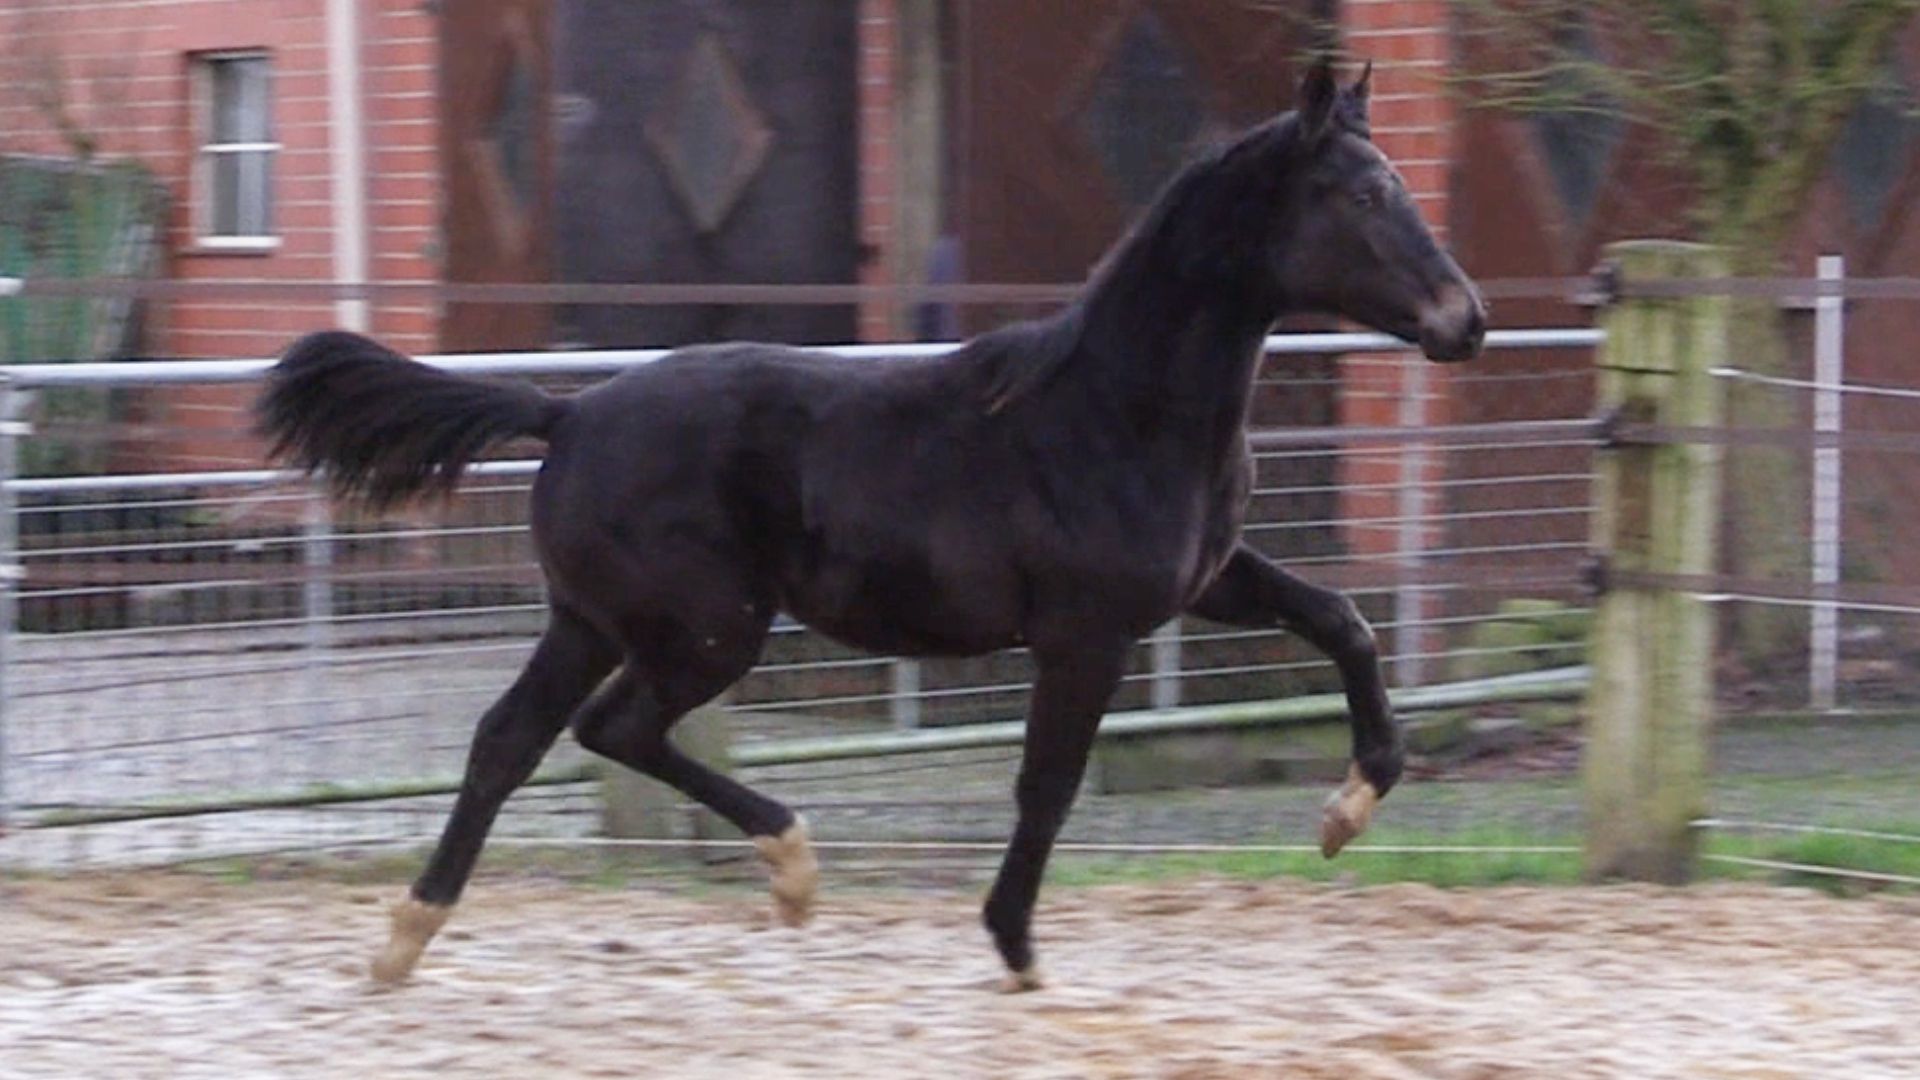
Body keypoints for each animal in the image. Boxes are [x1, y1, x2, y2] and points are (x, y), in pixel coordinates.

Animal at [257, 59, 1485, 991]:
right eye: (1362, 197)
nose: (1465, 321)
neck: (1113, 409)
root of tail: (571, 411)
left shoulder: (1205, 582)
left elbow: (1343, 621)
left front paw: (1349, 808)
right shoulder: (1086, 633)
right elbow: (1047, 784)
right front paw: (1015, 946)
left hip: (593, 621)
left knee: (516, 740)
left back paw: (408, 939)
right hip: (705, 629)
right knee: (615, 729)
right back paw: (791, 866)